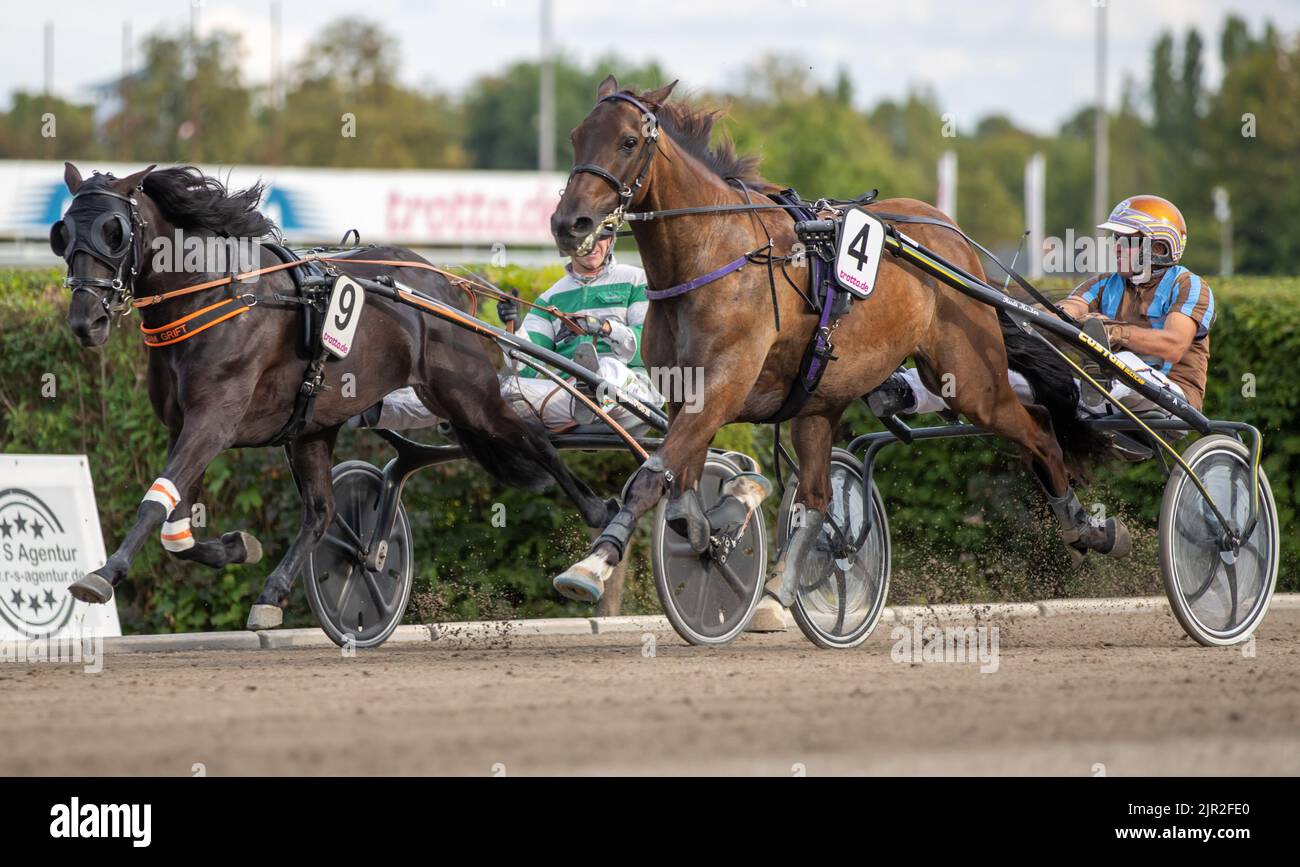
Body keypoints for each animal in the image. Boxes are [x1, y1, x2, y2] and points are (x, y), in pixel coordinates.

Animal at [50, 163, 615, 629]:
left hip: (467, 392)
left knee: (533, 436)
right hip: (314, 428)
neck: (220, 295)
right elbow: (176, 525)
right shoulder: (182, 426)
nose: (85, 321)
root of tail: (446, 285)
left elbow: (153, 503)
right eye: (63, 234)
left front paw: (103, 574)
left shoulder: (214, 420)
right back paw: (274, 592)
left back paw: (600, 514)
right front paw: (238, 547)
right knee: (321, 513)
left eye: (114, 232)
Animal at [546, 77, 1128, 610]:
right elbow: (683, 501)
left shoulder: (722, 388)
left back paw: (1086, 527)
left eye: (627, 141)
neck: (714, 253)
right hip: (821, 402)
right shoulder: (682, 394)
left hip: (968, 379)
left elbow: (652, 480)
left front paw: (591, 566)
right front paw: (723, 523)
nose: (569, 223)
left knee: (1040, 430)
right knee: (819, 497)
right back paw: (782, 590)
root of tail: (951, 235)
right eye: (575, 137)